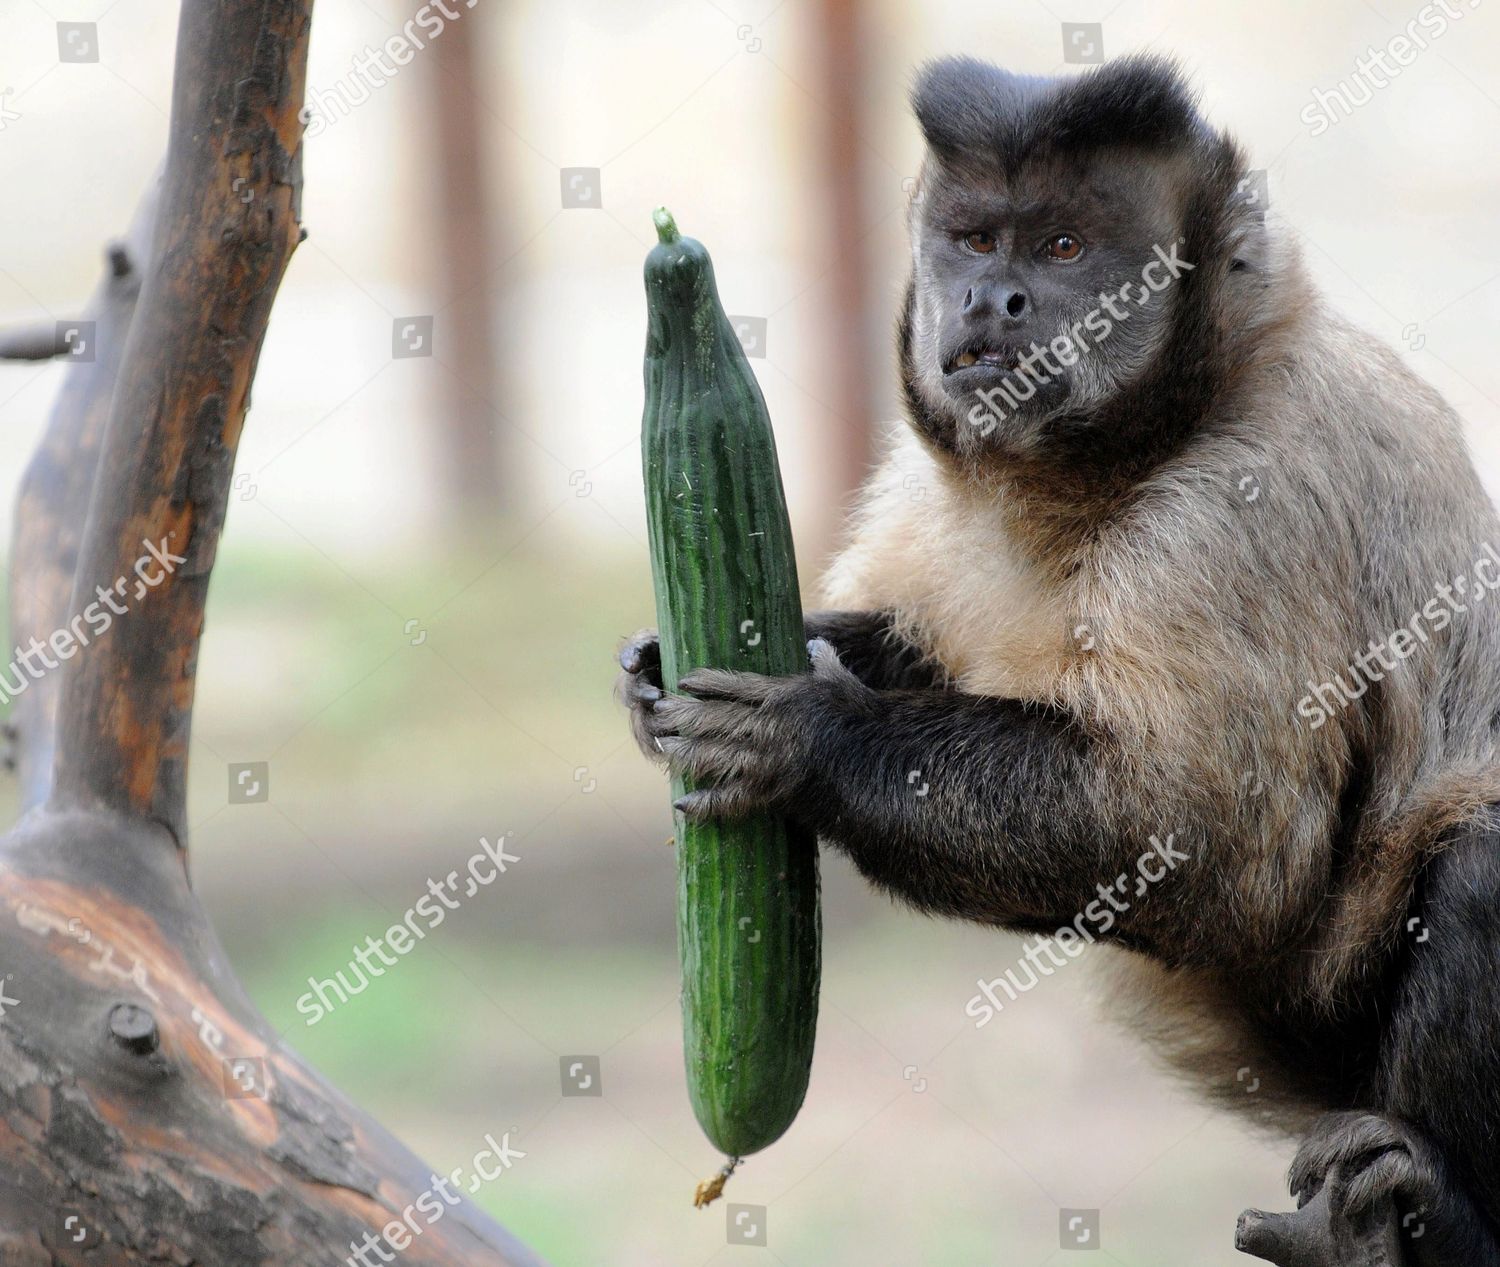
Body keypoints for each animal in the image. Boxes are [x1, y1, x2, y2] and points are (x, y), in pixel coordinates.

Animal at [619, 54, 1500, 1262]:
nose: (994, 301)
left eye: (1068, 249)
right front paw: (659, 667)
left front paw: (807, 741)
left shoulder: (1239, 504)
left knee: (1477, 860)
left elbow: (1212, 854)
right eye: (978, 241)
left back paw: (1438, 1211)